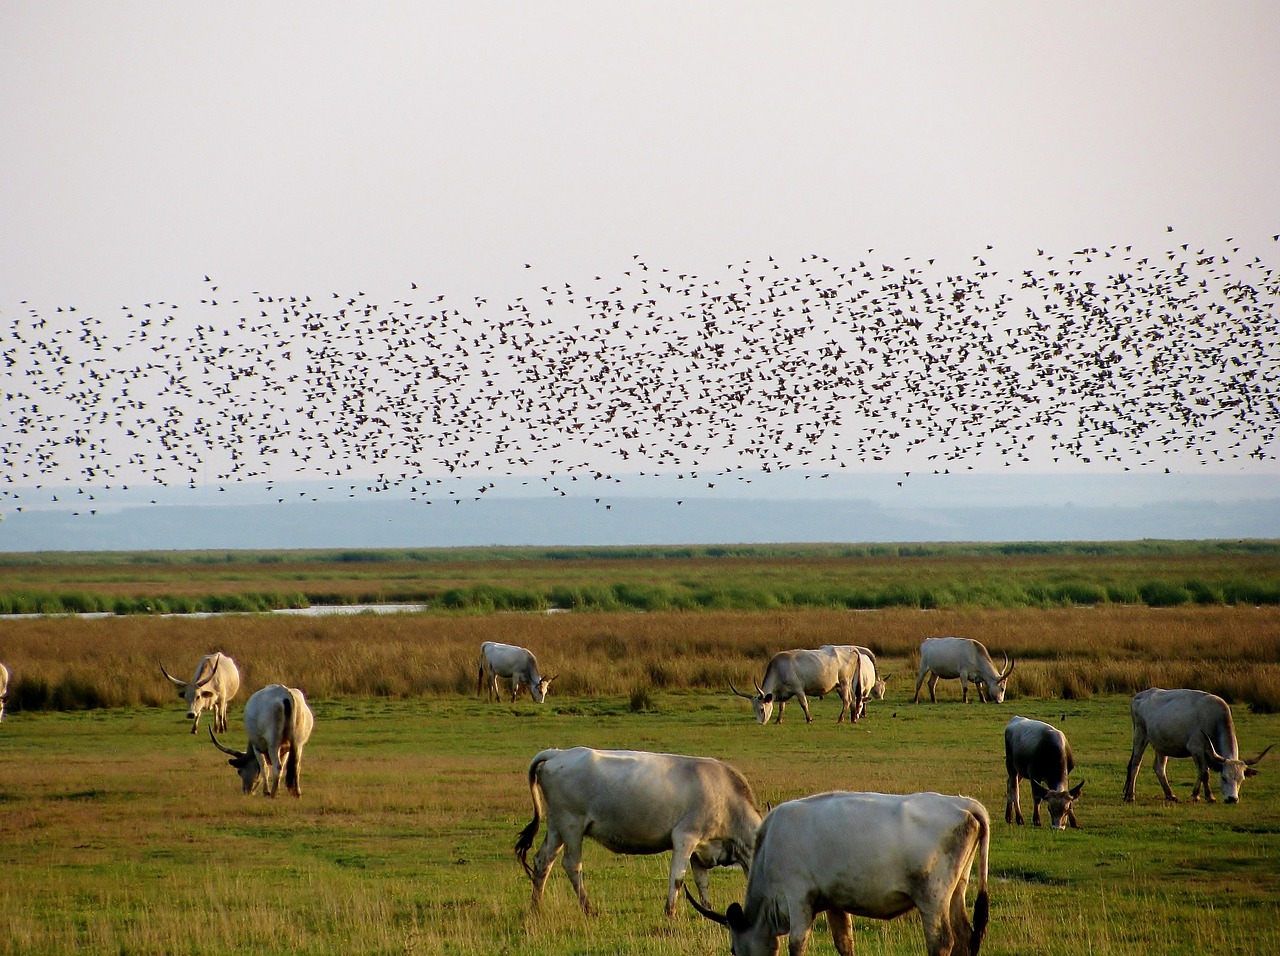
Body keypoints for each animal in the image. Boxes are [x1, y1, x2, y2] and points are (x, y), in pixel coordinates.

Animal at [515, 747, 763, 918]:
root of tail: (558, 753)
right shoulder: (685, 837)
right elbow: (677, 877)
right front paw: (670, 912)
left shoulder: (701, 848)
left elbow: (702, 882)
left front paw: (707, 910)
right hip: (571, 825)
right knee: (572, 865)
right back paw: (588, 908)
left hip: (556, 827)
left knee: (543, 861)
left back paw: (536, 907)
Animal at [689, 790, 991, 956]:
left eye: (733, 949)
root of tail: (964, 804)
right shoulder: (835, 902)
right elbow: (844, 942)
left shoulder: (798, 898)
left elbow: (797, 944)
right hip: (956, 891)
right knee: (965, 936)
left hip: (933, 897)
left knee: (942, 942)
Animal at [1123, 687, 1273, 804]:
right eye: (1224, 778)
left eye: (1241, 779)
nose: (1232, 799)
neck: (1215, 718)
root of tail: (1140, 695)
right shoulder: (1197, 749)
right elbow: (1204, 773)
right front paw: (1209, 797)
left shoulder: (1208, 753)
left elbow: (1202, 772)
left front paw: (1197, 795)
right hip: (1140, 736)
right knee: (1136, 764)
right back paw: (1130, 796)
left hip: (1161, 744)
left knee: (1159, 768)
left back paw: (1170, 795)